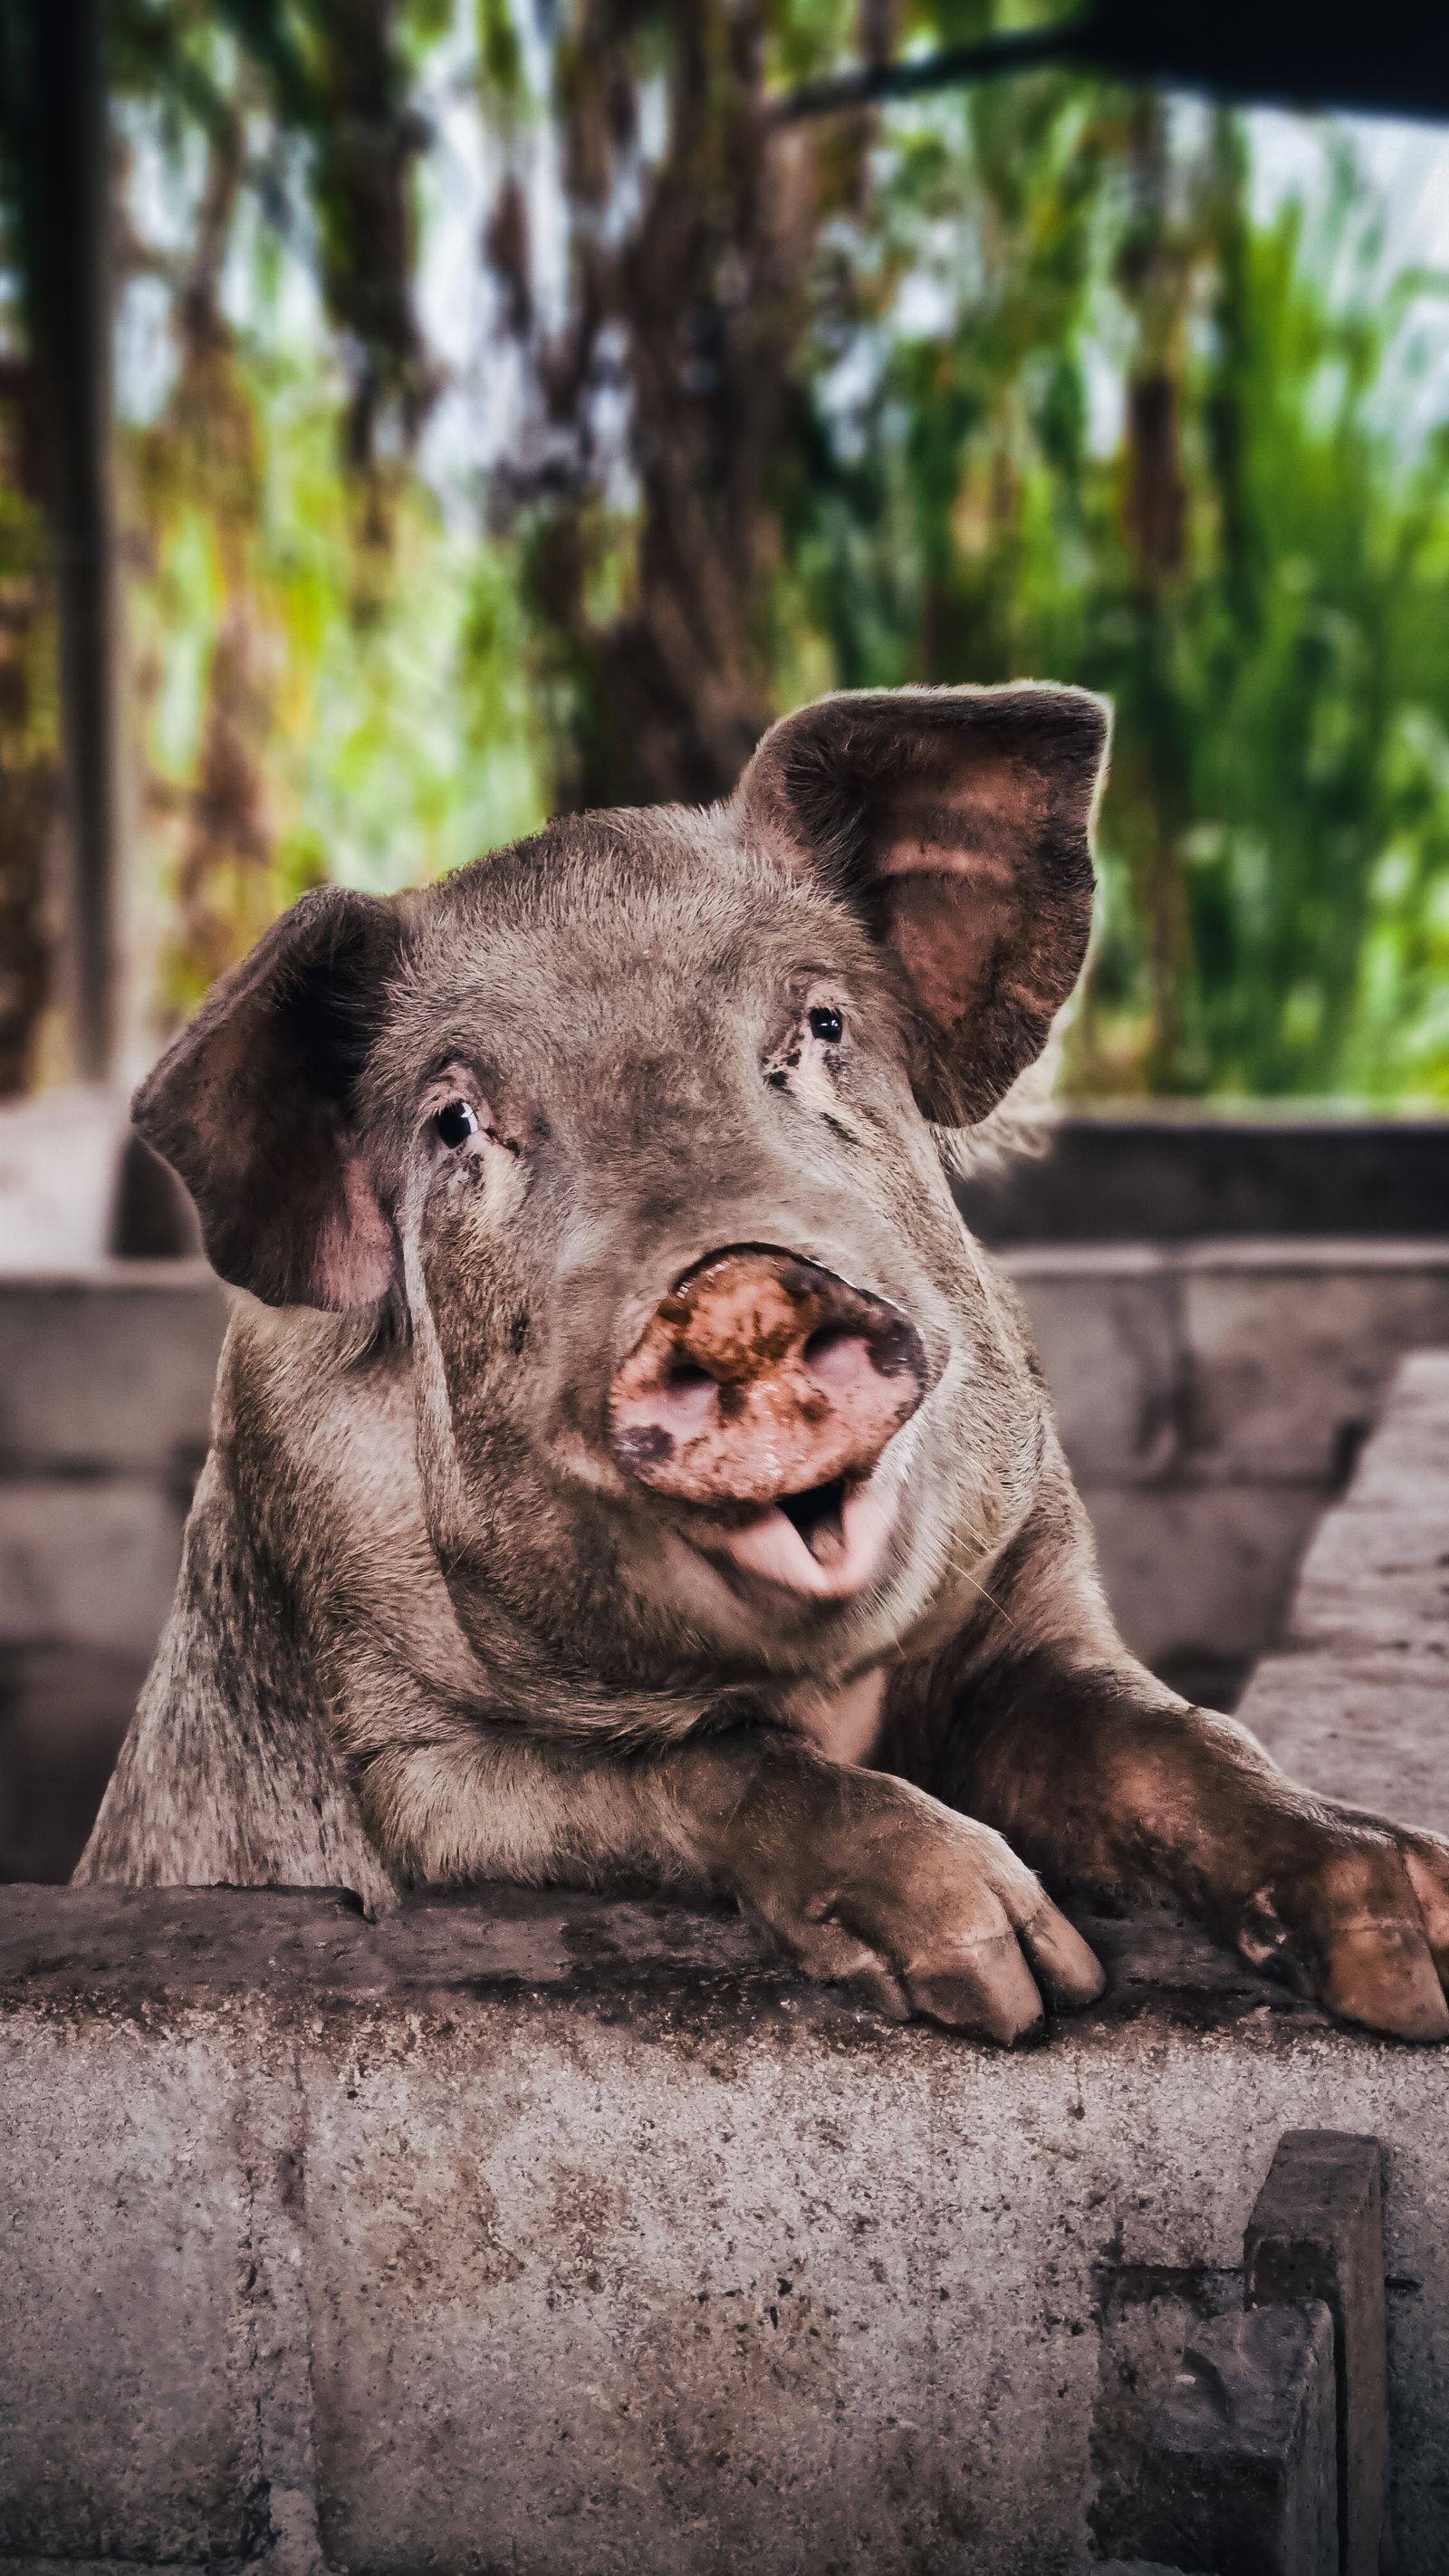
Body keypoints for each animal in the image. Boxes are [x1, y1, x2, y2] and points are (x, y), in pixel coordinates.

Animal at [77, 683, 1449, 2046]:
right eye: (456, 1124)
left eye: (820, 1024)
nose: (734, 1289)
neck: (824, 1683)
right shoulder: (401, 1756)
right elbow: (701, 1764)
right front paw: (1012, 1980)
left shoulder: (1031, 1583)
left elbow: (1172, 1738)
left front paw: (1411, 1956)